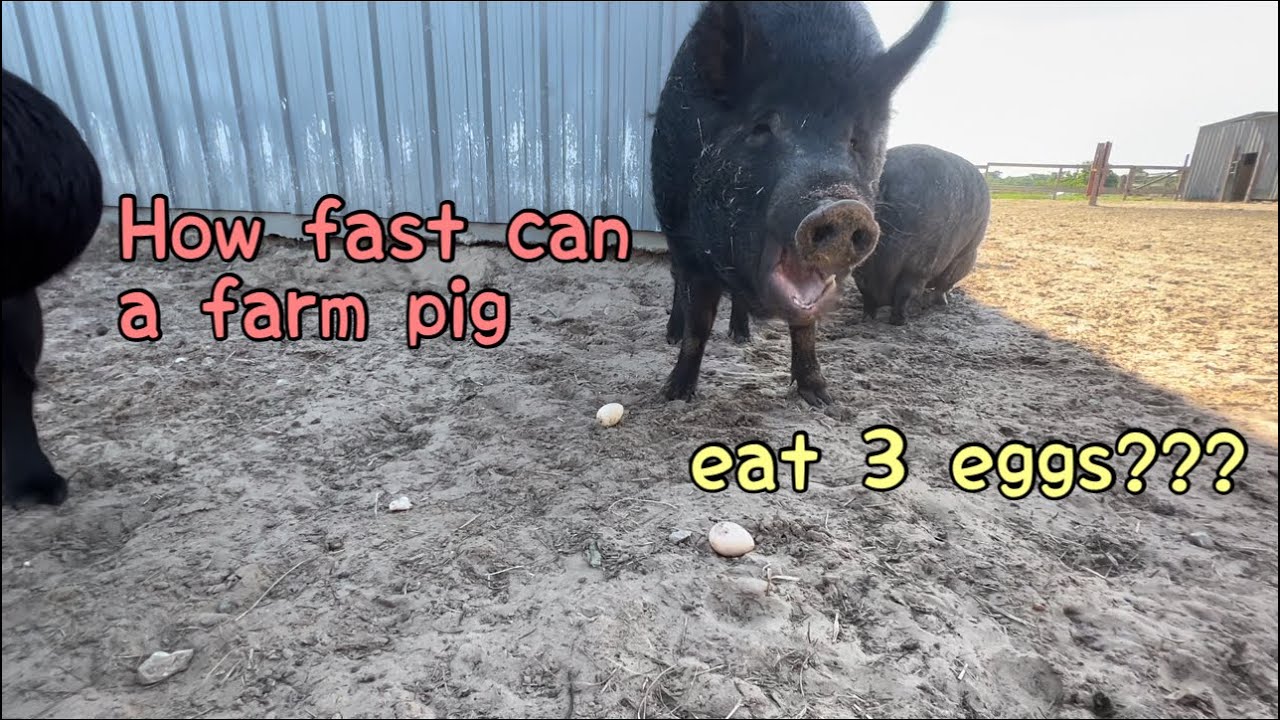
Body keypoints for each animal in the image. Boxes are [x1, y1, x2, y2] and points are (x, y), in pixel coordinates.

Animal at [653, 0, 948, 407]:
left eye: (855, 138)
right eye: (762, 126)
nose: (842, 206)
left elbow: (806, 323)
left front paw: (822, 398)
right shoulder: (688, 241)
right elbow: (698, 321)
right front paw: (674, 395)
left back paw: (741, 336)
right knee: (677, 283)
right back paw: (672, 336)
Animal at [852, 143, 990, 325]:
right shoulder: (960, 258)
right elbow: (943, 284)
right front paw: (943, 303)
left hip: (863, 265)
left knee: (867, 293)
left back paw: (867, 319)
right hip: (919, 263)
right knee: (907, 292)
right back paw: (901, 320)